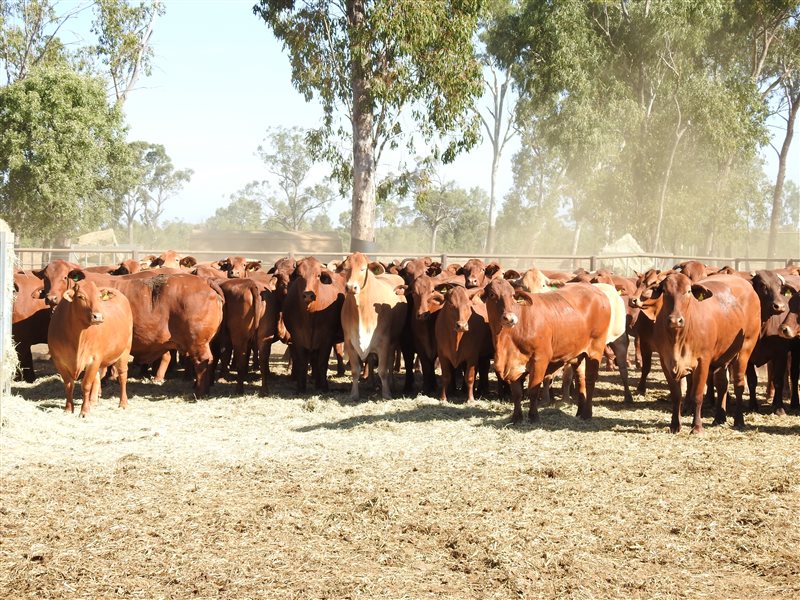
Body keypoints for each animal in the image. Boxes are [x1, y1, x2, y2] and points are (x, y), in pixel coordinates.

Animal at [47, 276, 133, 416]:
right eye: (80, 296)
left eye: (99, 297)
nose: (98, 316)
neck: (77, 338)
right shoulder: (59, 361)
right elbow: (68, 385)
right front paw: (68, 409)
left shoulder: (94, 359)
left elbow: (86, 384)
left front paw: (84, 411)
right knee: (97, 378)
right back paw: (93, 401)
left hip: (125, 350)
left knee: (122, 375)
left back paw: (123, 403)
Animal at [282, 257, 345, 393]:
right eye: (299, 275)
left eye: (318, 275)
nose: (308, 295)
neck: (310, 315)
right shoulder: (297, 338)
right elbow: (302, 362)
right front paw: (301, 388)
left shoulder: (326, 338)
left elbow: (322, 362)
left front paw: (324, 387)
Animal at [340, 252, 408, 400]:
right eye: (346, 268)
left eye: (363, 268)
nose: (350, 287)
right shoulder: (349, 342)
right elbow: (355, 371)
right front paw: (354, 394)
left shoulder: (384, 342)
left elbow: (382, 370)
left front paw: (387, 393)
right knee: (370, 360)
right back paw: (372, 382)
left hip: (394, 341)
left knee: (390, 362)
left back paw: (391, 383)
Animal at [481, 277, 611, 423]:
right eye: (492, 294)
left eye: (512, 295)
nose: (510, 318)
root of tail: (595, 290)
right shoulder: (512, 364)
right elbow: (517, 393)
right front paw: (516, 418)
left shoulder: (540, 359)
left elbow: (533, 390)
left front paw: (533, 416)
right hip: (578, 355)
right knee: (580, 380)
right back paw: (579, 412)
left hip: (596, 349)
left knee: (590, 380)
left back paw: (587, 414)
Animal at [640, 273, 761, 433]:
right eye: (664, 291)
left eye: (688, 291)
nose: (675, 320)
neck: (678, 339)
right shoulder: (665, 362)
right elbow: (676, 396)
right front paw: (675, 425)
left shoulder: (703, 361)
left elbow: (697, 395)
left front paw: (697, 427)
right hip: (722, 358)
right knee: (722, 384)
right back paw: (719, 418)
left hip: (745, 350)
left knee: (739, 385)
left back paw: (739, 420)